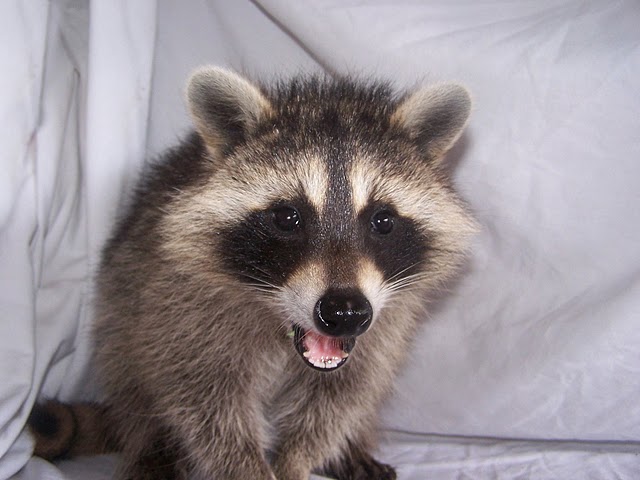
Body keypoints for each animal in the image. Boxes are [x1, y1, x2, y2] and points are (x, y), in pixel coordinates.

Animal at [29, 67, 475, 479]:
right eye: (287, 217)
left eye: (383, 221)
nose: (344, 312)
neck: (282, 327)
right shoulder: (181, 306)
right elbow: (206, 402)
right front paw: (249, 468)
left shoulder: (382, 328)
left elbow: (339, 399)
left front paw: (297, 461)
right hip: (121, 306)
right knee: (133, 379)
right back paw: (153, 449)